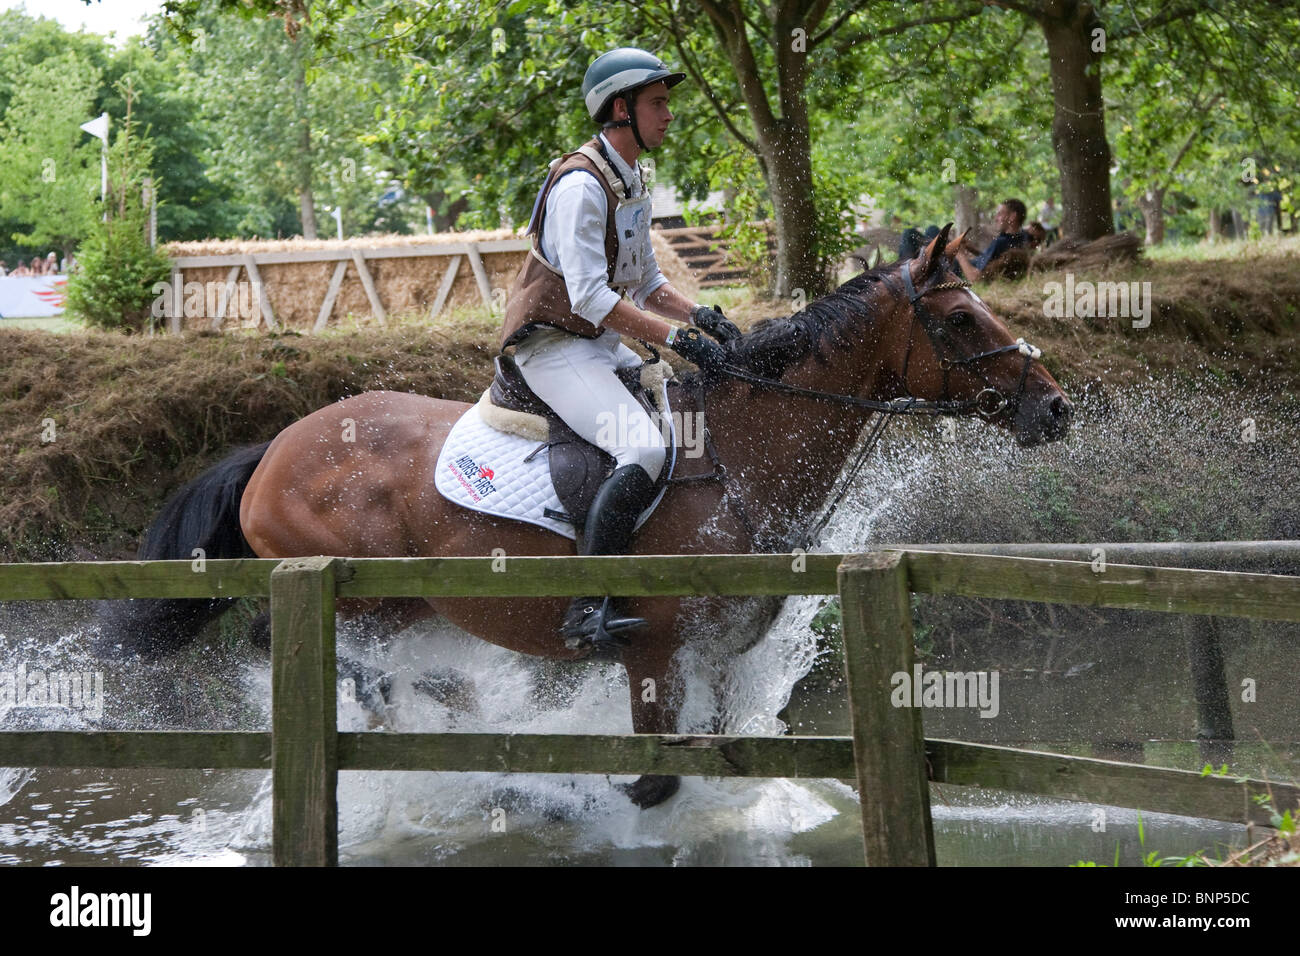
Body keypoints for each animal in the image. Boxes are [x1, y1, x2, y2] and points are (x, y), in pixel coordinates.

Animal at [98, 224, 1071, 808]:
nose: (1056, 408)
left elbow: (719, 754)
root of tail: (274, 447)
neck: (738, 453)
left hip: (407, 600)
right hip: (350, 588)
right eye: (958, 318)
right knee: (301, 645)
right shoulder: (653, 654)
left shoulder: (719, 656)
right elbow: (657, 780)